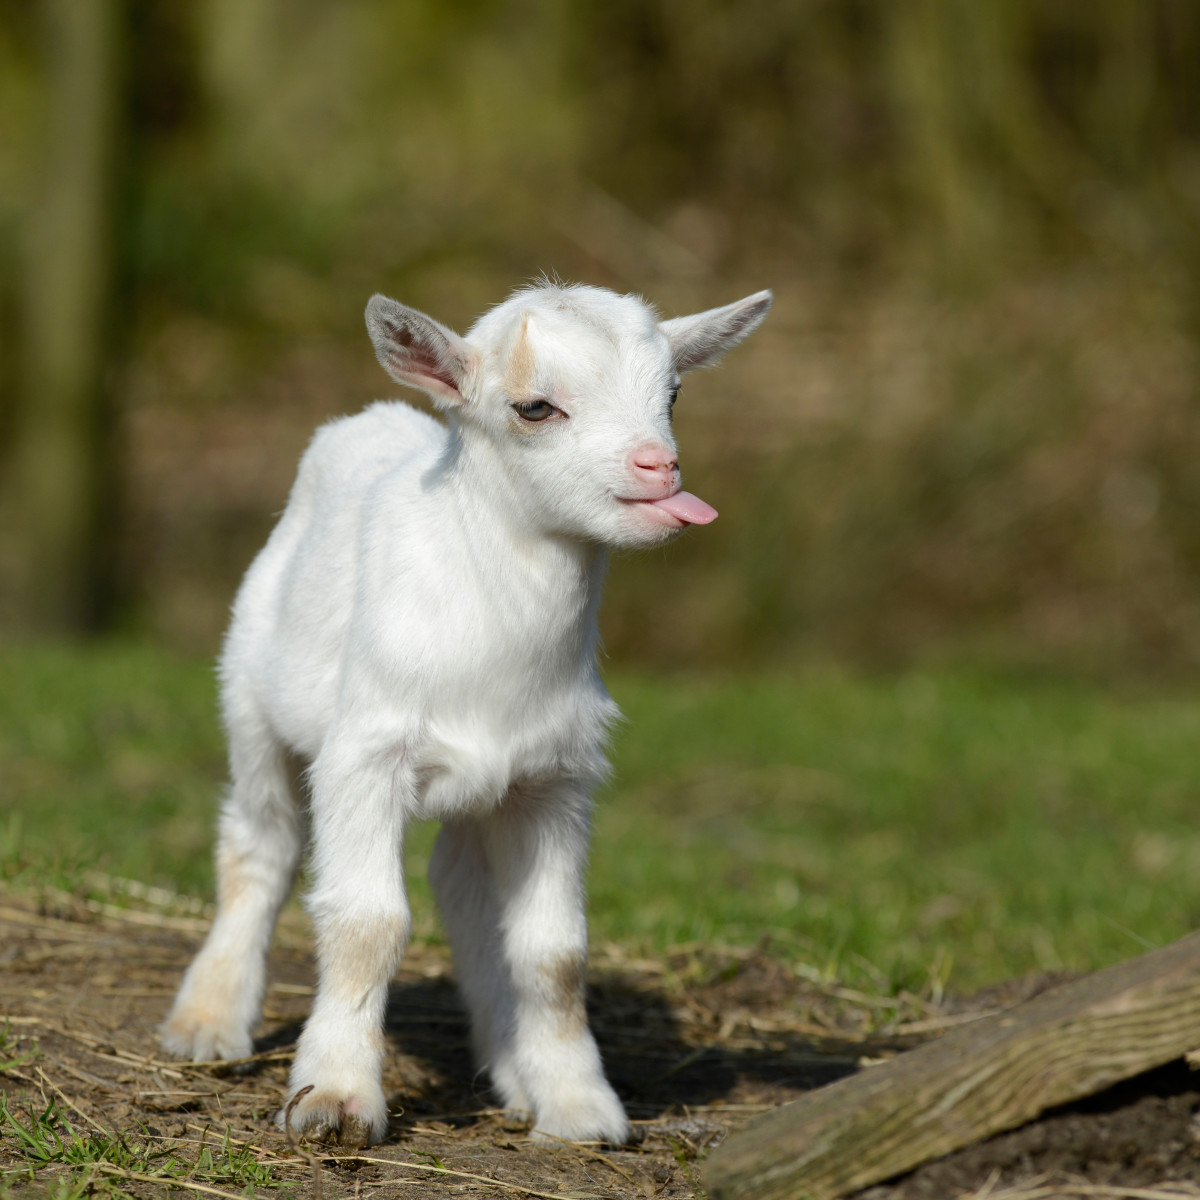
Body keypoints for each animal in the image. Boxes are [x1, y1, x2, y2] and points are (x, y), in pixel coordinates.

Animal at [160, 280, 772, 1148]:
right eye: (535, 406)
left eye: (675, 394)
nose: (660, 467)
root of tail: (375, 417)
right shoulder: (365, 756)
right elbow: (367, 922)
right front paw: (335, 1096)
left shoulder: (556, 779)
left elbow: (554, 950)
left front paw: (578, 1106)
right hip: (250, 703)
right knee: (260, 843)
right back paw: (208, 1021)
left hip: (485, 790)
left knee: (462, 887)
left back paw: (510, 1067)